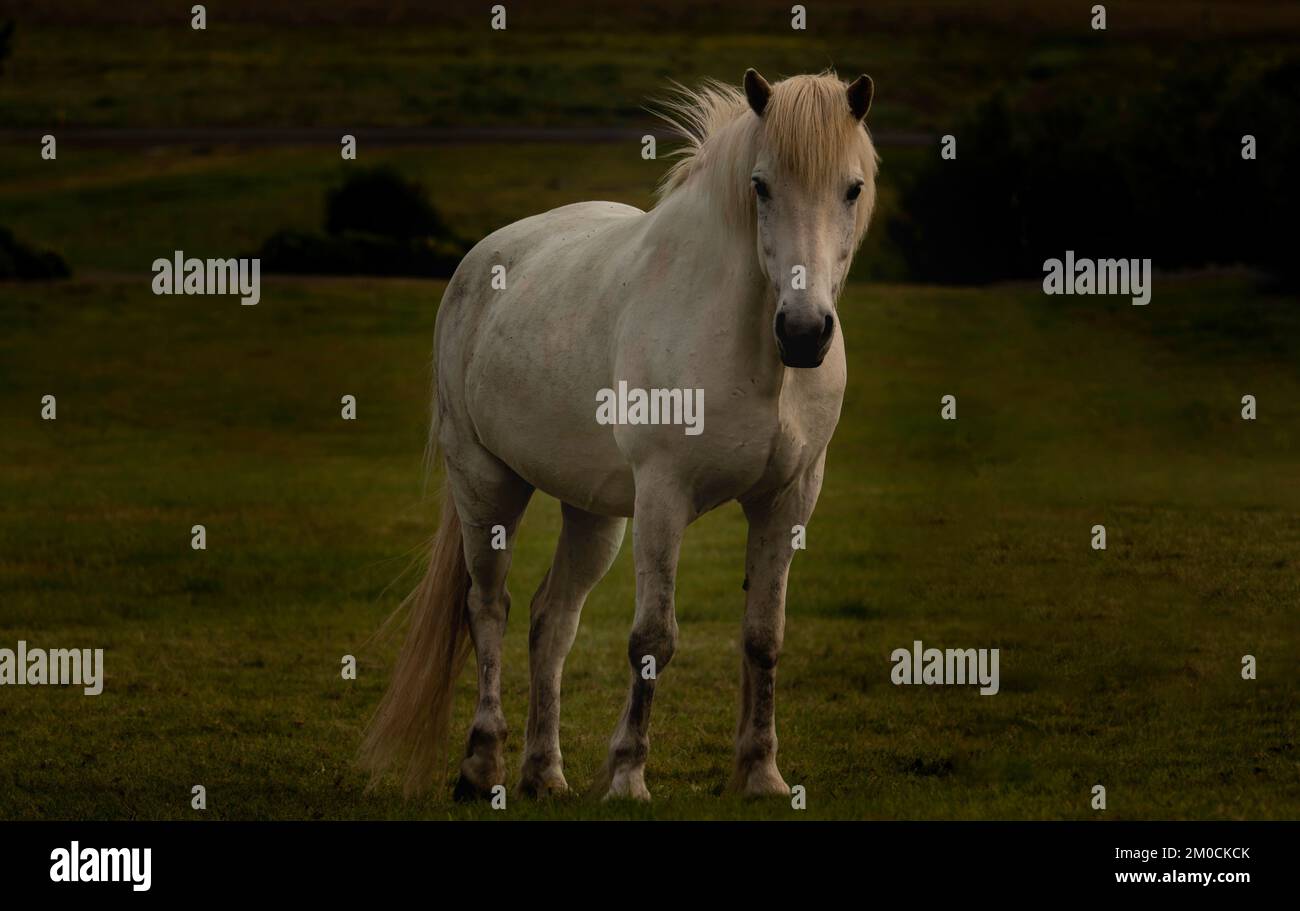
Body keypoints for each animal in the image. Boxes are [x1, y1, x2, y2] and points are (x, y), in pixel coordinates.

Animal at [361, 68, 879, 801]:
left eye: (851, 187)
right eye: (761, 185)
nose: (804, 332)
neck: (750, 345)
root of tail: (479, 262)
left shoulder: (787, 500)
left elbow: (763, 637)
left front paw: (761, 772)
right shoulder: (664, 495)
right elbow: (652, 639)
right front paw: (629, 776)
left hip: (592, 513)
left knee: (550, 621)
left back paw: (544, 773)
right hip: (487, 484)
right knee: (488, 607)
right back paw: (481, 766)